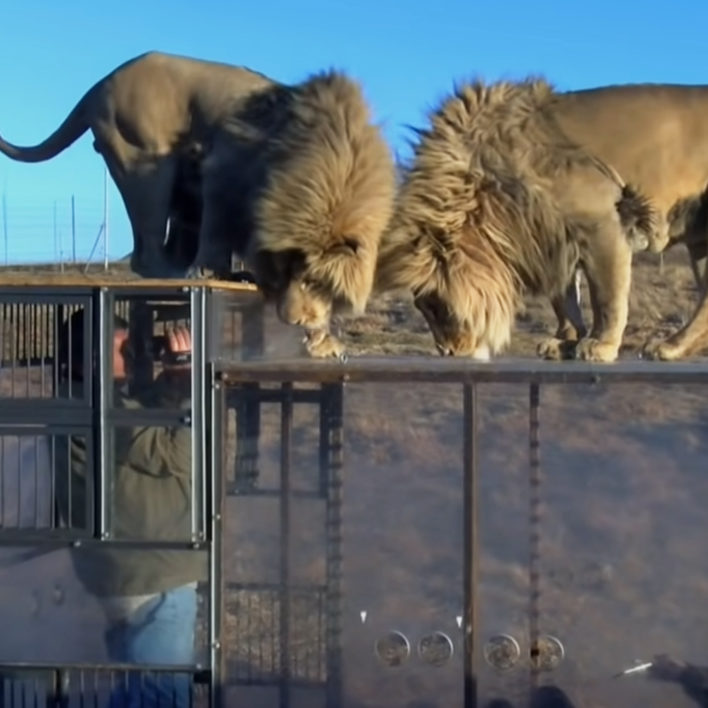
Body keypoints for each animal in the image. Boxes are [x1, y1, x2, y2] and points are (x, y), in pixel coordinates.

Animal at [375, 79, 658, 362]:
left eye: (437, 307)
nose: (447, 352)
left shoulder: (603, 221)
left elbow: (607, 296)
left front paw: (600, 344)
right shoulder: (552, 238)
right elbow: (564, 300)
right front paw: (564, 342)